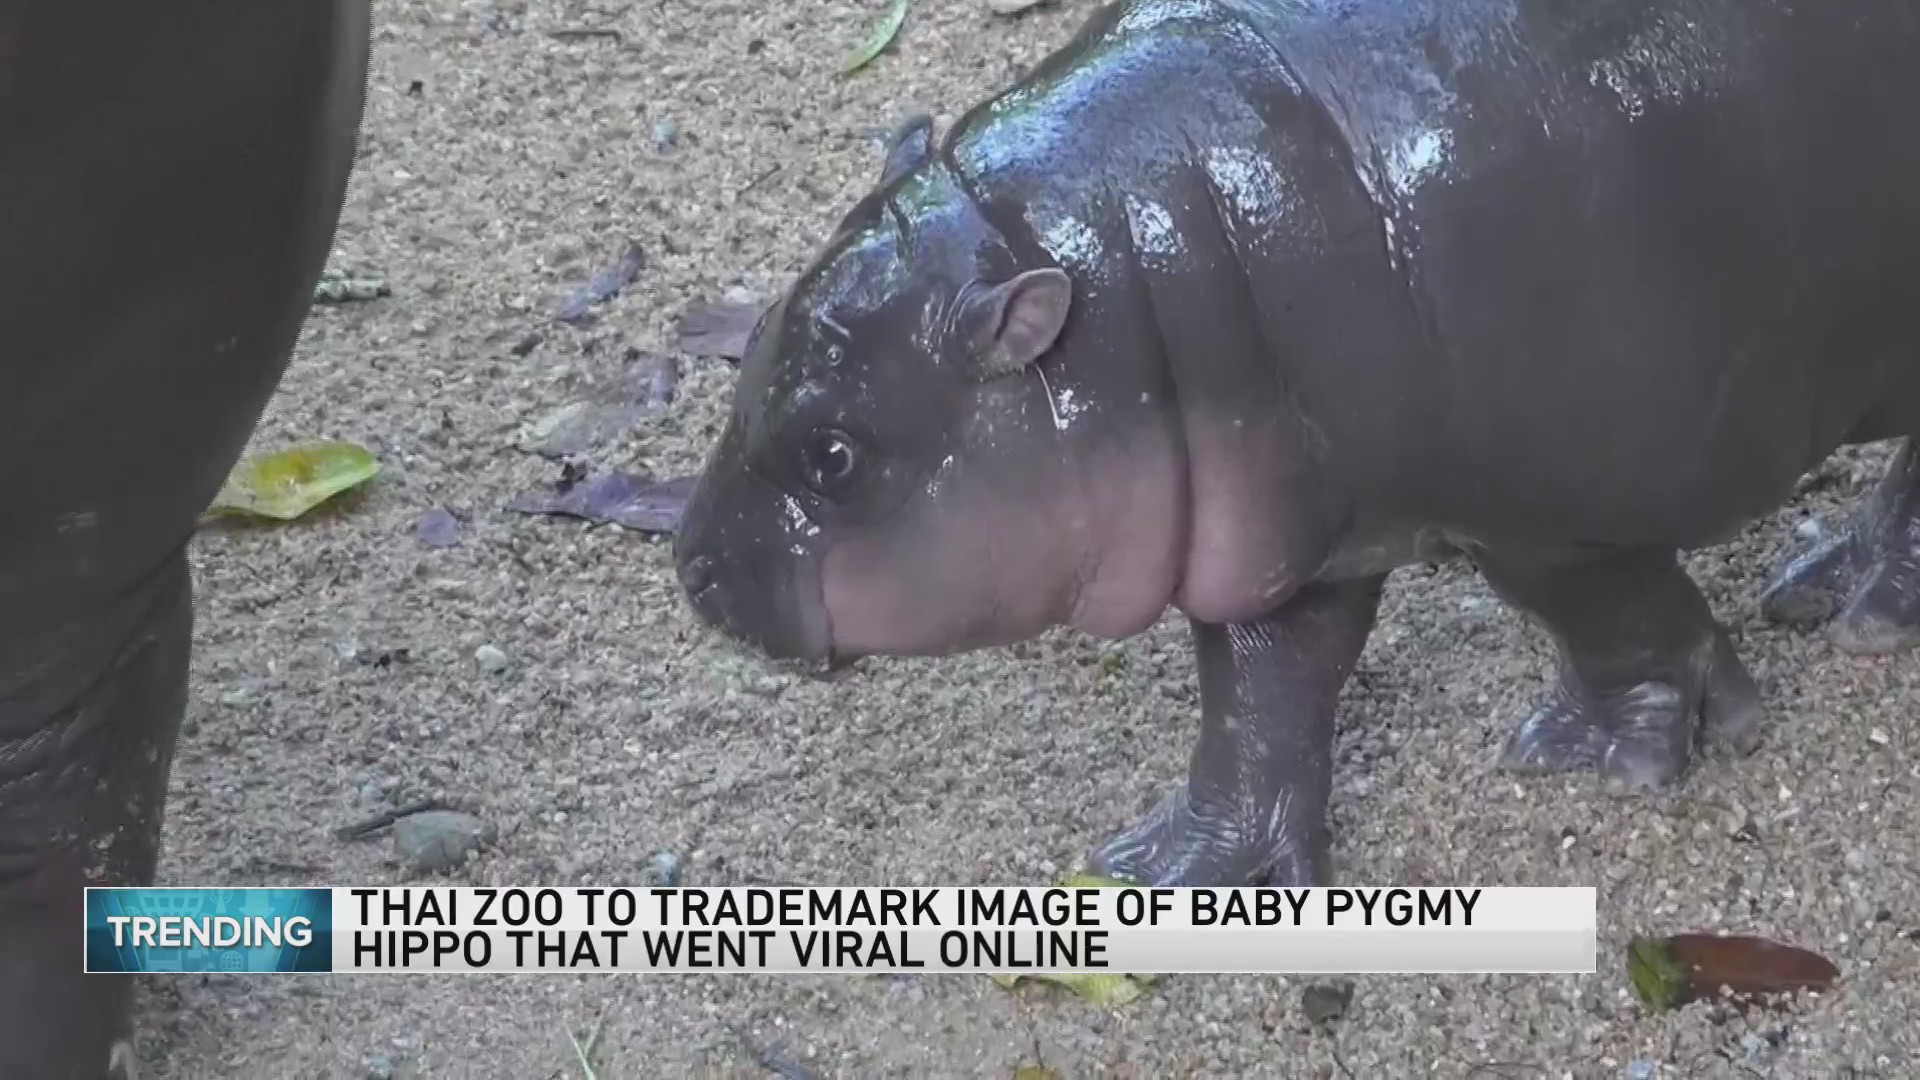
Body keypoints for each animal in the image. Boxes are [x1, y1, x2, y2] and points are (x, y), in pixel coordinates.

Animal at [674, 0, 1920, 891]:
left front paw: (1610, 757)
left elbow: (1625, 626)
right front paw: (1176, 870)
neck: (1113, 277)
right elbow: (1261, 689)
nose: (690, 568)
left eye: (834, 453)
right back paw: (1829, 586)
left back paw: (1857, 614)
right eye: (752, 340)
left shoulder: (1552, 523)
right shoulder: (1269, 529)